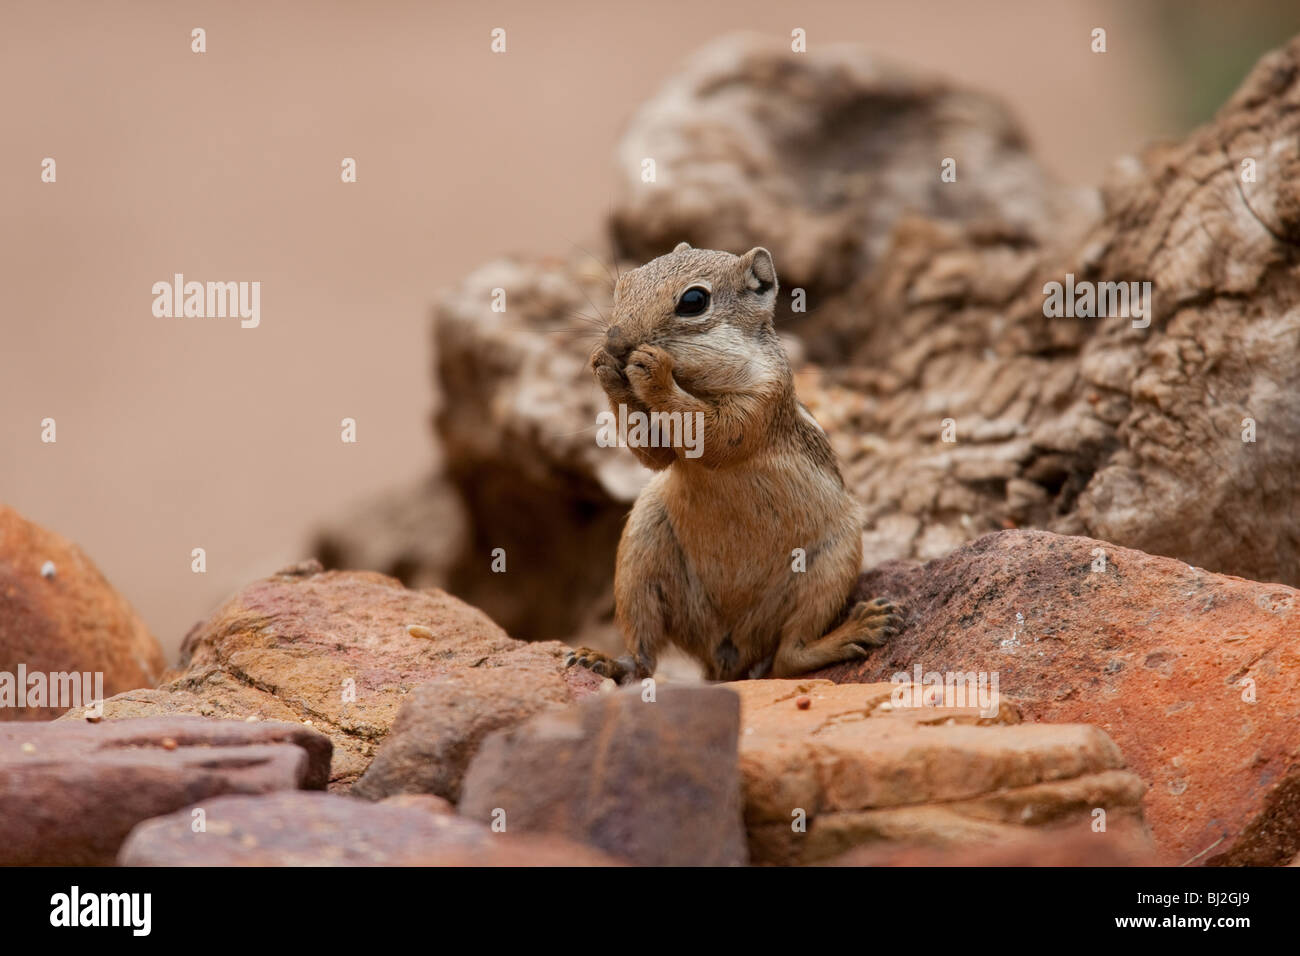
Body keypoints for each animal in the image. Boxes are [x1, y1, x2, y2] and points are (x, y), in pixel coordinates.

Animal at [567, 243, 902, 683]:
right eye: (623, 285)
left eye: (694, 301)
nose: (616, 341)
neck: (696, 382)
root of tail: (728, 655)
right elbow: (655, 454)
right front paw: (605, 368)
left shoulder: (759, 401)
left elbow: (716, 434)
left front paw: (653, 372)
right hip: (641, 553)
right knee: (643, 657)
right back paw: (602, 660)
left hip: (833, 565)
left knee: (790, 656)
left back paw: (861, 627)